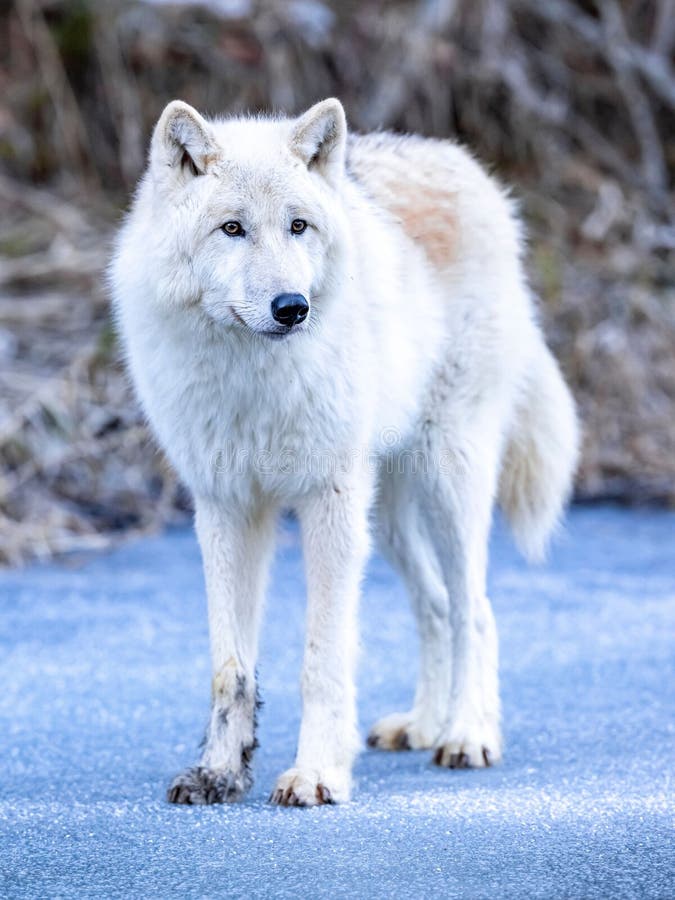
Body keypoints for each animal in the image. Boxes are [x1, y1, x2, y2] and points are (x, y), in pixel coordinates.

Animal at [110, 97, 579, 807]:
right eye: (232, 229)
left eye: (298, 226)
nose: (292, 308)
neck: (252, 380)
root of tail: (467, 167)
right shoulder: (225, 509)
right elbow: (230, 667)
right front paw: (220, 772)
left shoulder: (327, 505)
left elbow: (322, 659)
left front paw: (316, 775)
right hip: (382, 518)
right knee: (435, 607)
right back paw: (422, 724)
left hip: (445, 482)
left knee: (475, 611)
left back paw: (467, 735)